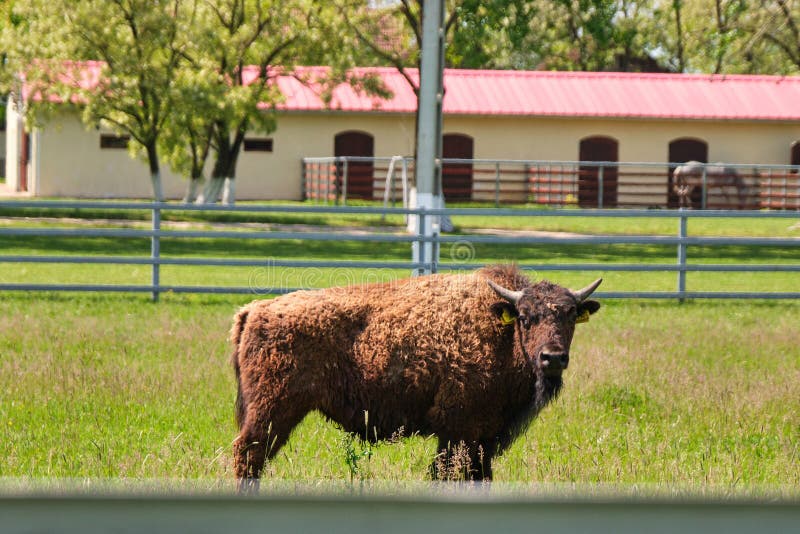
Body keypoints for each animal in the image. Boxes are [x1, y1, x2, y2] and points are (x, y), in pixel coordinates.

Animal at [230, 265, 601, 488]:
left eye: (570, 315)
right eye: (525, 317)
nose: (553, 358)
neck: (501, 332)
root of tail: (254, 310)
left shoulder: (483, 438)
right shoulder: (458, 431)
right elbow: (445, 474)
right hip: (273, 411)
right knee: (248, 457)